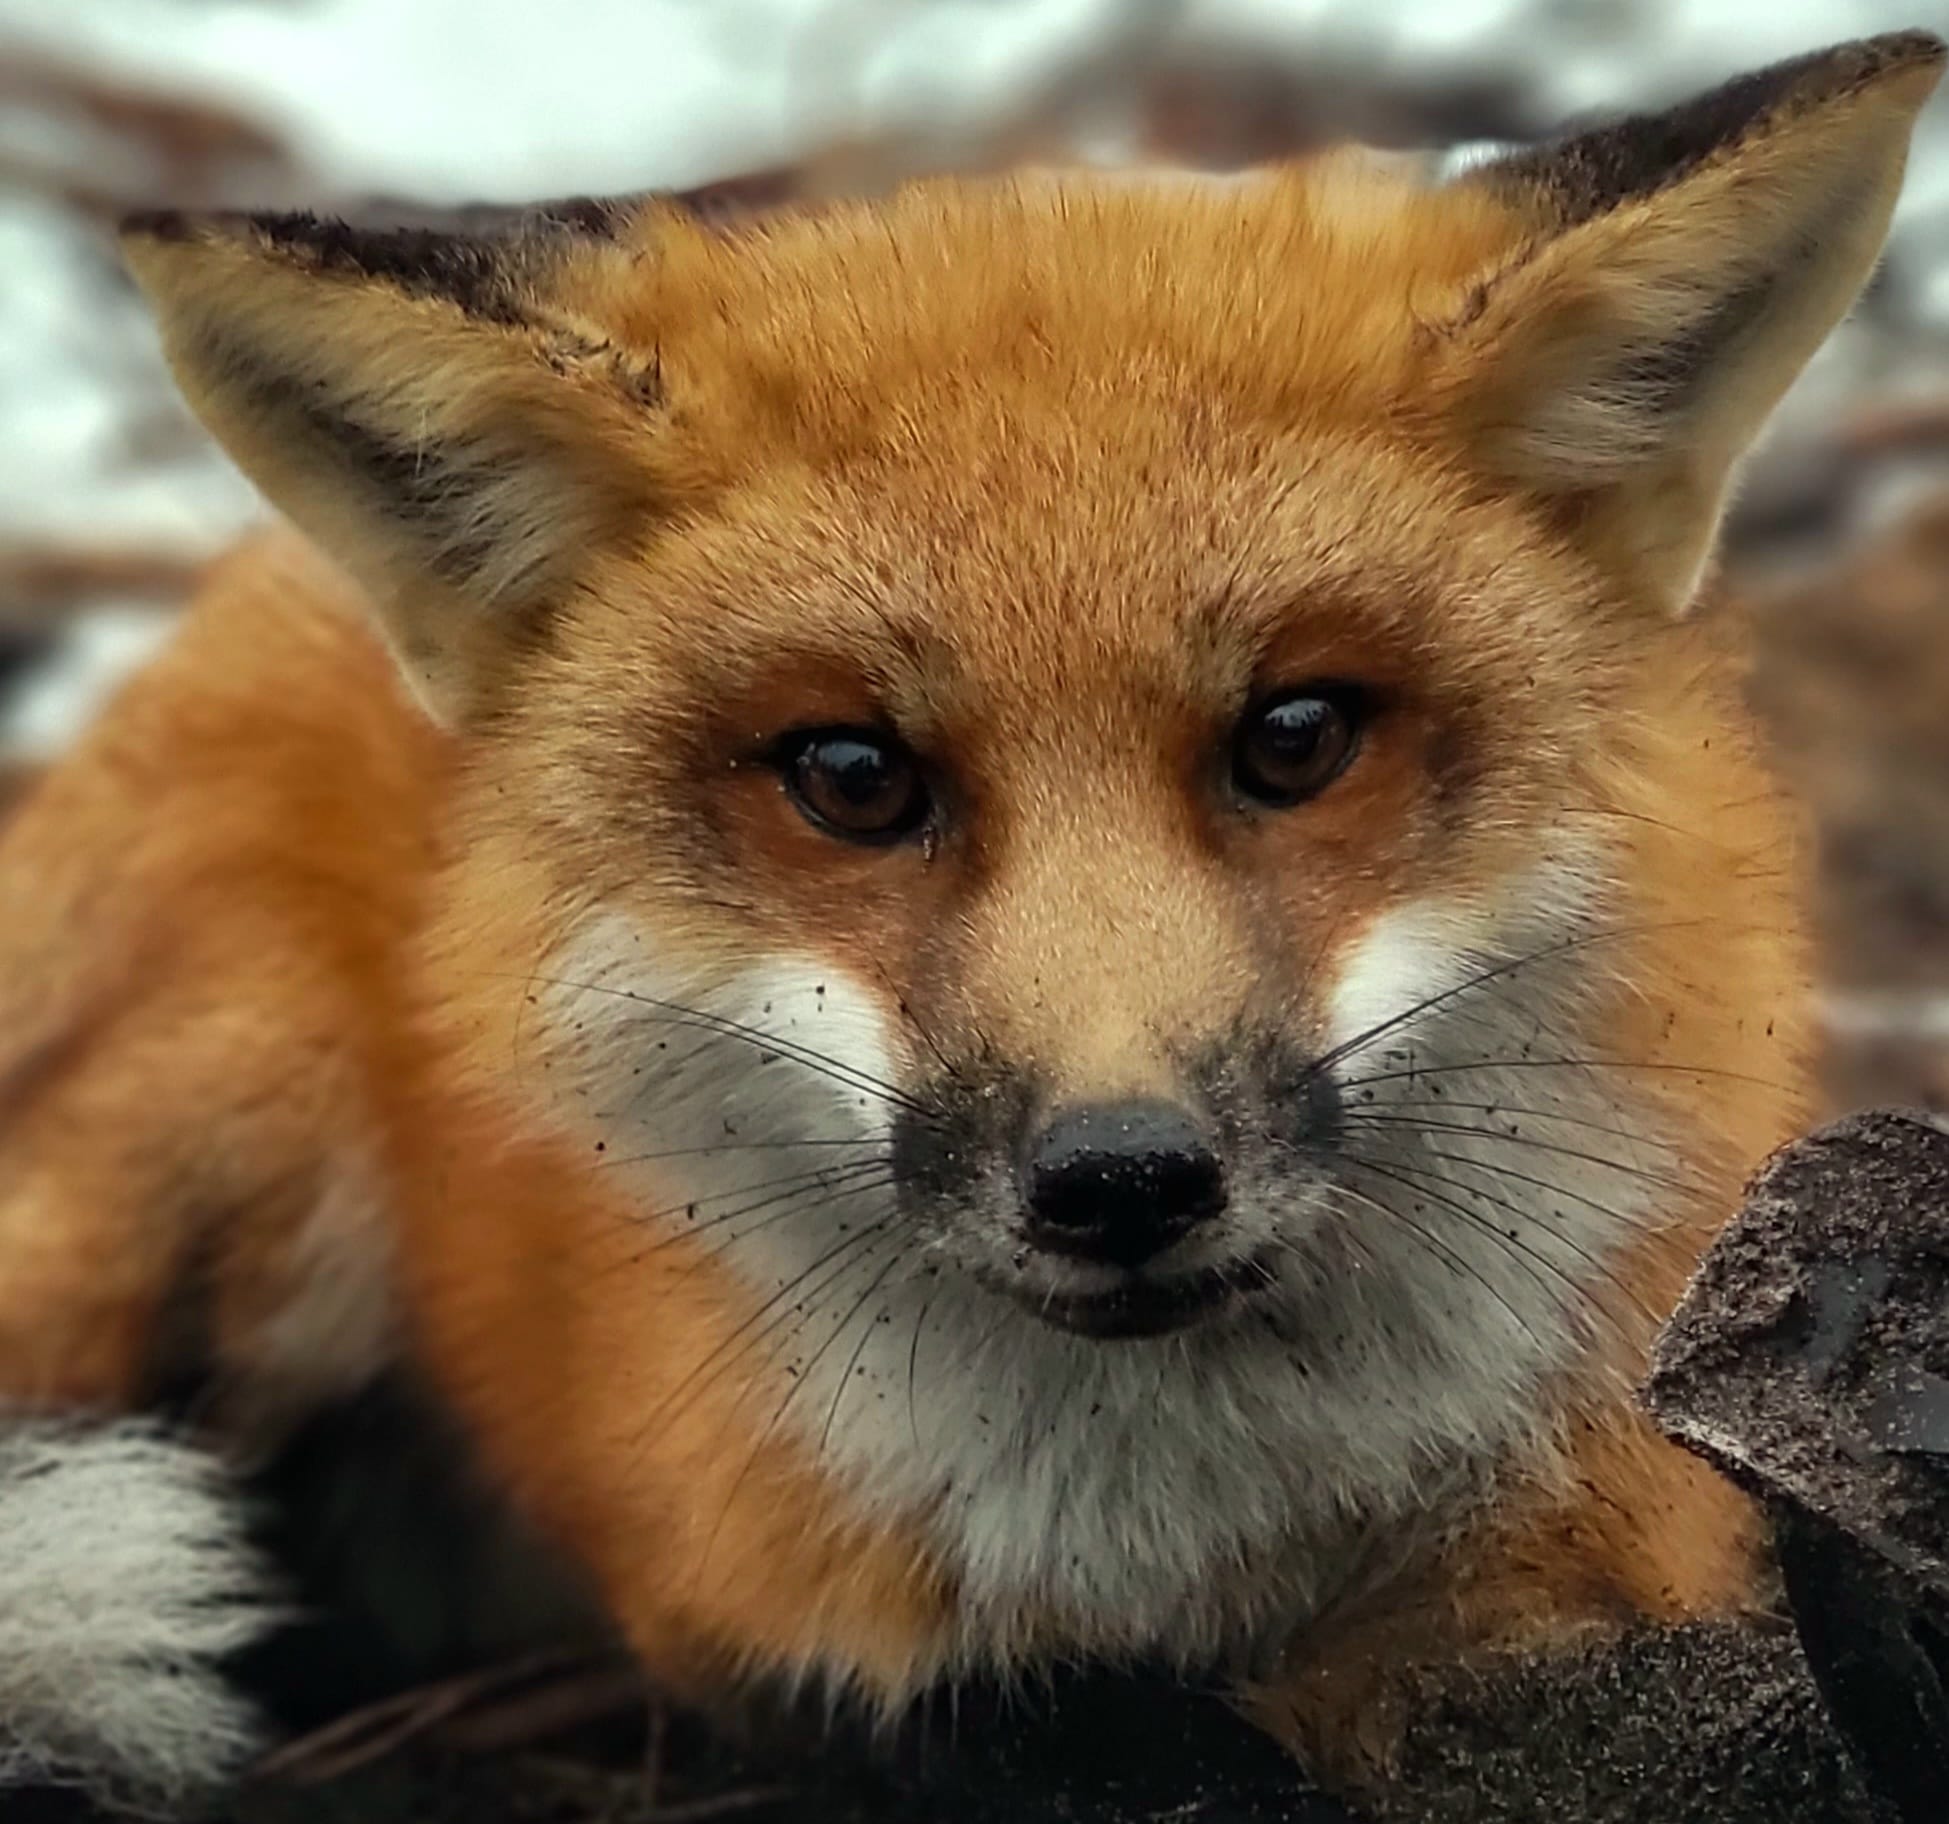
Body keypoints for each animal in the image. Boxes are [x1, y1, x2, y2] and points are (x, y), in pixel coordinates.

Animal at [0, 27, 1942, 1810]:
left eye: (1295, 734)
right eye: (854, 774)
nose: (1121, 1179)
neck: (1208, 1537)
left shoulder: (1615, 1501)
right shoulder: (807, 1632)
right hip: (235, 1159)